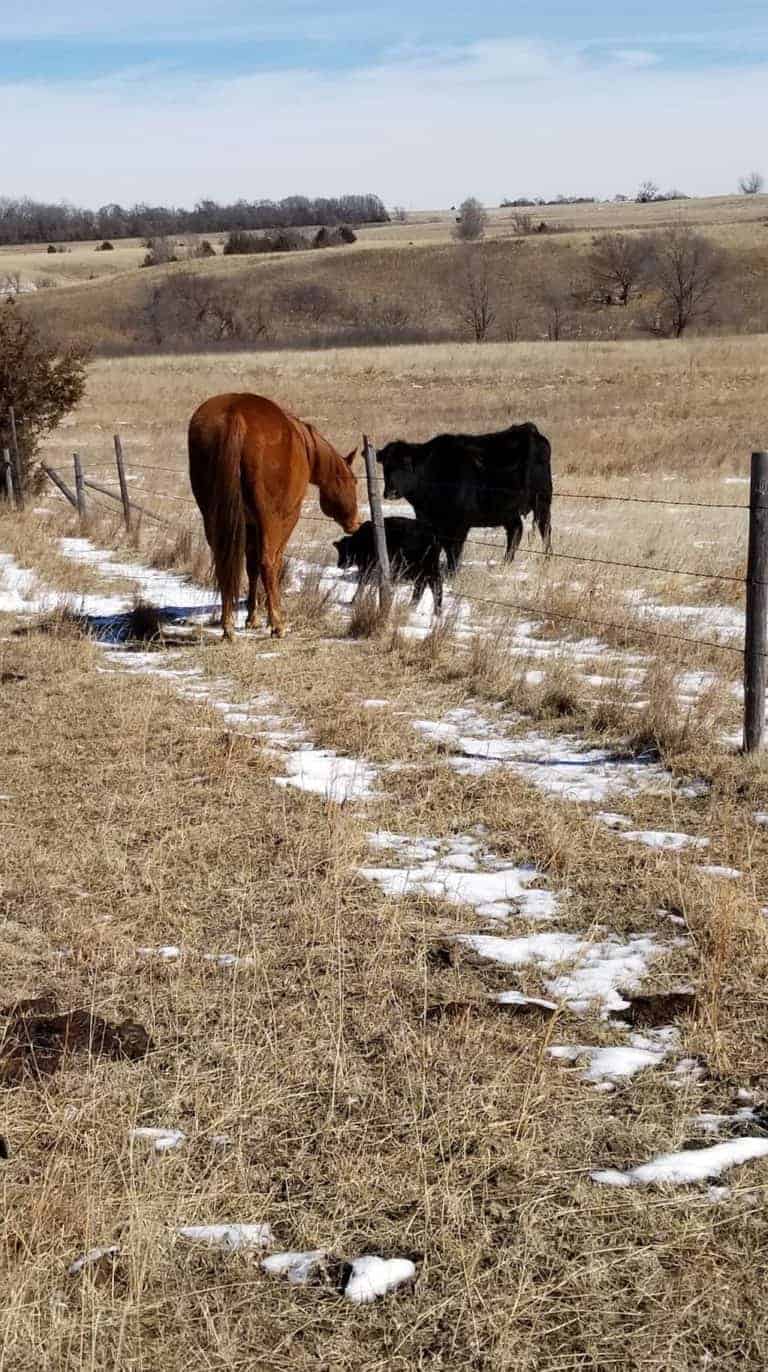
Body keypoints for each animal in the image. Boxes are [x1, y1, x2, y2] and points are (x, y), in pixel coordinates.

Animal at [376, 423, 552, 574]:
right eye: (385, 466)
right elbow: (445, 547)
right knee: (516, 531)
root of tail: (528, 429)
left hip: (542, 501)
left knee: (545, 529)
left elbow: (454, 549)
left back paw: (547, 560)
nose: (391, 492)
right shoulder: (432, 523)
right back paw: (506, 564)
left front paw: (453, 573)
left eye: (406, 464)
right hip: (508, 510)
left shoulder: (459, 523)